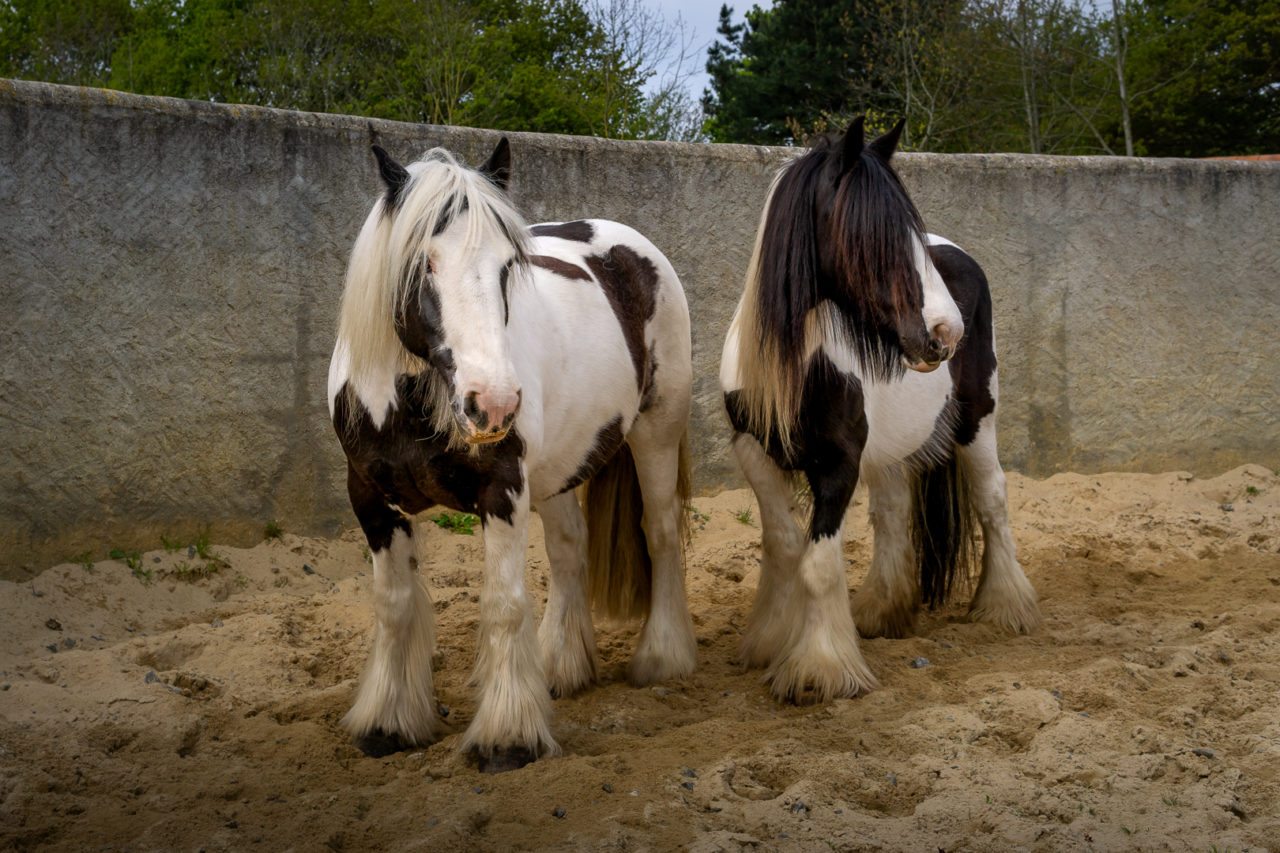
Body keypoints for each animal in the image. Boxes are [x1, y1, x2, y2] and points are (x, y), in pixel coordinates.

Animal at [328, 139, 696, 772]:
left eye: (507, 268)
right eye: (422, 263)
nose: (493, 402)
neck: (409, 402)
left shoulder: (502, 489)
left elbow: (503, 604)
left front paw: (507, 739)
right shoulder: (372, 500)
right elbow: (393, 605)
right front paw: (387, 724)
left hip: (655, 432)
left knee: (661, 531)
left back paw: (661, 658)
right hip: (560, 468)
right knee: (571, 547)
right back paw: (560, 668)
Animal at [719, 117, 1040, 704]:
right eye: (875, 235)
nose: (947, 331)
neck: (797, 364)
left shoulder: (839, 465)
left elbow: (819, 564)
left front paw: (819, 670)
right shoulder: (754, 454)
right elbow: (782, 546)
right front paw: (771, 641)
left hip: (977, 420)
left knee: (992, 499)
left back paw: (1007, 608)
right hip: (893, 446)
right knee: (893, 512)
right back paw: (882, 612)